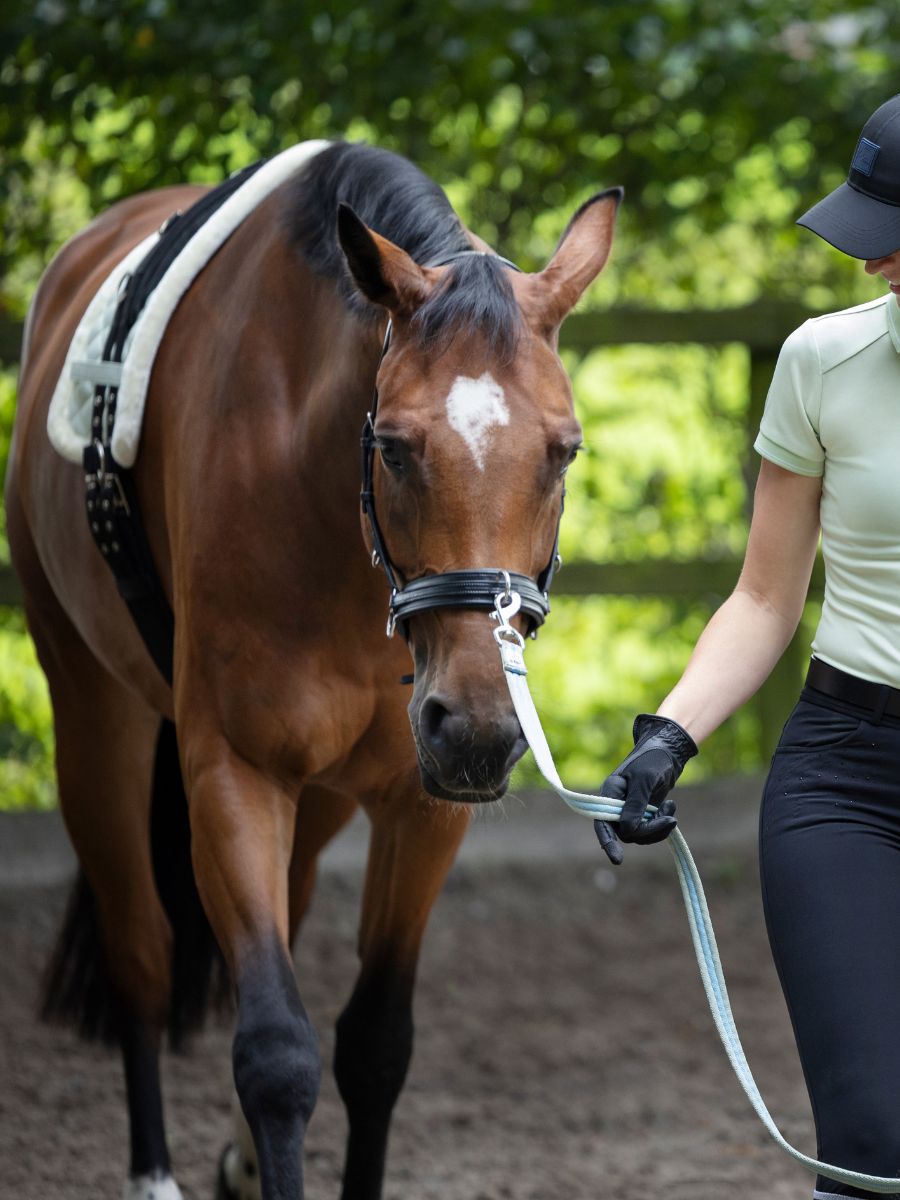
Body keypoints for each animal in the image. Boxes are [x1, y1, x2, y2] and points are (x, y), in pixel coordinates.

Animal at [6, 140, 620, 1200]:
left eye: (564, 451)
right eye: (395, 448)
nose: (479, 728)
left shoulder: (423, 805)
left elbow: (374, 1045)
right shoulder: (235, 775)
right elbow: (276, 1053)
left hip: (328, 792)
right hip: (94, 719)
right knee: (141, 951)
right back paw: (154, 1171)